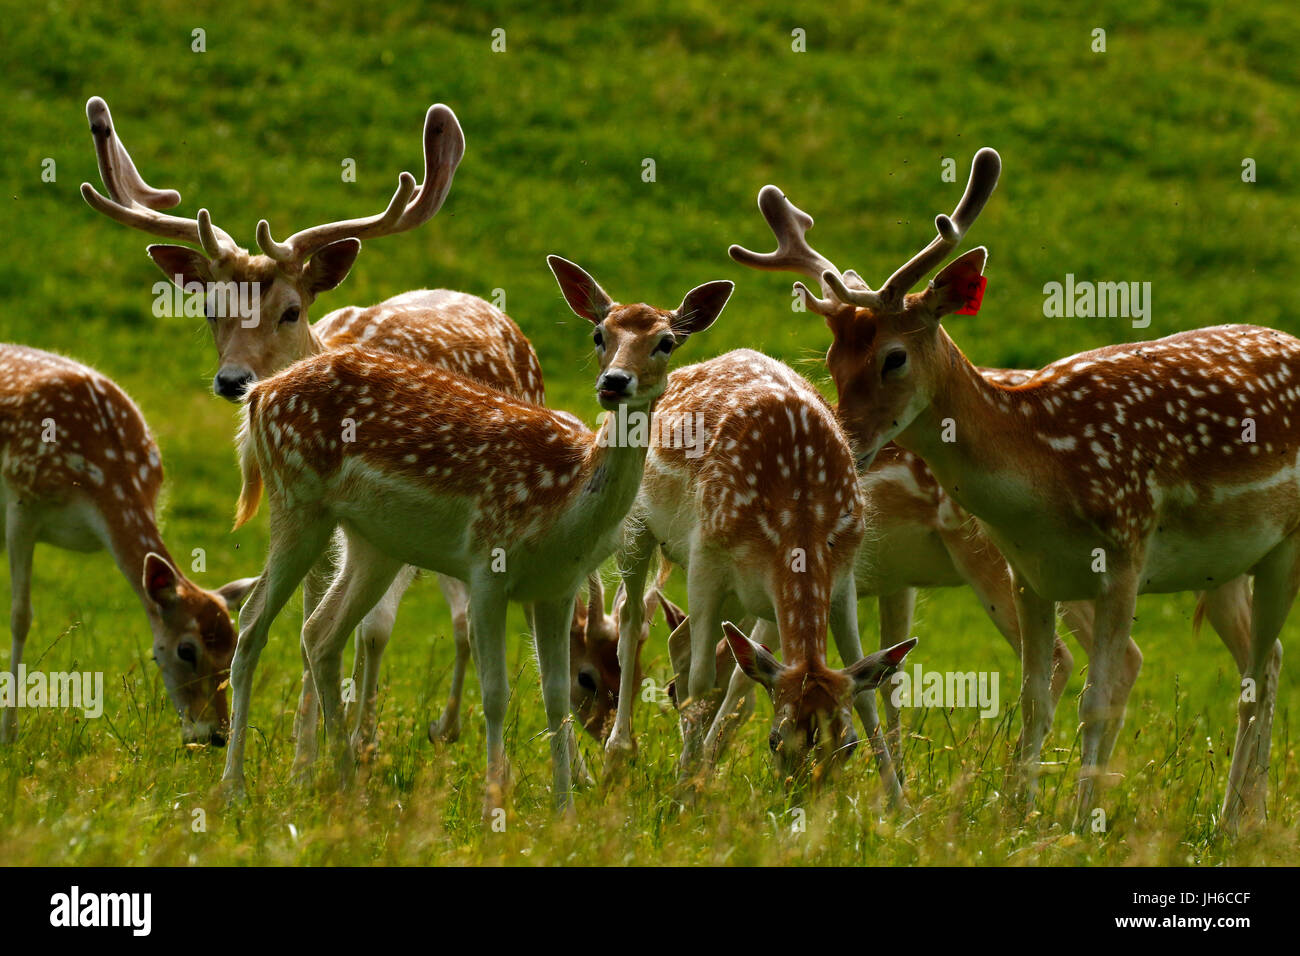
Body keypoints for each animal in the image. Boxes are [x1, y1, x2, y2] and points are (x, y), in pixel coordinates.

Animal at [0, 345, 255, 744]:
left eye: (232, 649)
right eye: (186, 650)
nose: (215, 734)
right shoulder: (20, 505)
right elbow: (21, 616)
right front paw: (9, 733)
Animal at [79, 95, 546, 767]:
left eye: (291, 309)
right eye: (210, 309)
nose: (234, 380)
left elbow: (365, 629)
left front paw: (351, 744)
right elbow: (309, 625)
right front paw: (306, 760)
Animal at [222, 256, 732, 814]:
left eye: (666, 341)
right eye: (600, 334)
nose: (615, 382)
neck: (565, 499)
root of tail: (260, 394)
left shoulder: (557, 587)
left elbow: (553, 695)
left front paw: (565, 809)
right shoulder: (489, 563)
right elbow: (495, 694)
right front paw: (494, 807)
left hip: (372, 542)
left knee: (319, 633)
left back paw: (347, 785)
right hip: (297, 500)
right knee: (253, 622)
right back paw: (237, 786)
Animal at [607, 348, 917, 797]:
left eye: (849, 744)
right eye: (774, 740)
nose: (804, 801)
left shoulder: (844, 577)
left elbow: (863, 689)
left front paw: (899, 803)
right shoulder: (705, 558)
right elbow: (702, 679)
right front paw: (683, 793)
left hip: (741, 595)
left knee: (678, 638)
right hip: (635, 528)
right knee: (632, 620)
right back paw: (620, 753)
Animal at [727, 151, 1289, 830]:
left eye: (894, 357)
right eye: (833, 360)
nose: (844, 440)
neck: (1046, 462)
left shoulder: (1125, 547)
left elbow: (1093, 696)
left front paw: (1079, 825)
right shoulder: (1028, 574)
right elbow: (1026, 697)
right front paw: (1016, 817)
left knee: (1222, 670)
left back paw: (1229, 821)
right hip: (1225, 568)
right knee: (1264, 663)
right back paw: (1246, 814)